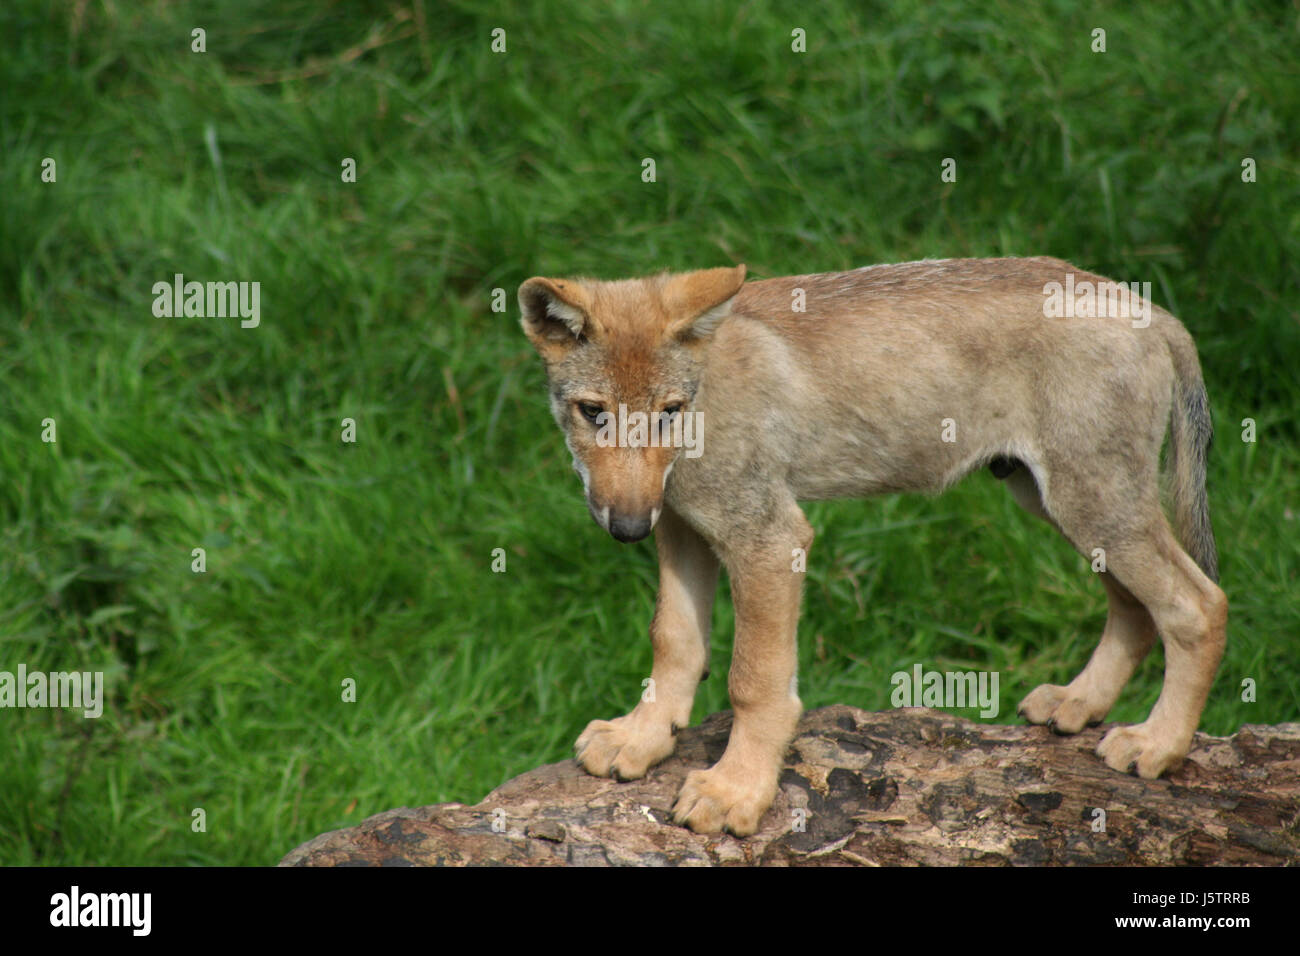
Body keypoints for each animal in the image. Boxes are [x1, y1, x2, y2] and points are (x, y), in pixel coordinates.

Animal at [517, 257, 1226, 837]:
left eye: (667, 412)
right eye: (593, 412)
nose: (625, 530)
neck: (704, 403)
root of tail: (1155, 312)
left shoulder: (768, 539)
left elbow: (754, 681)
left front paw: (735, 791)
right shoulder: (681, 530)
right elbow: (673, 643)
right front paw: (642, 737)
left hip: (1095, 508)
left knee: (1200, 606)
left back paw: (1159, 745)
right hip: (1061, 505)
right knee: (1136, 610)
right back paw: (1079, 705)